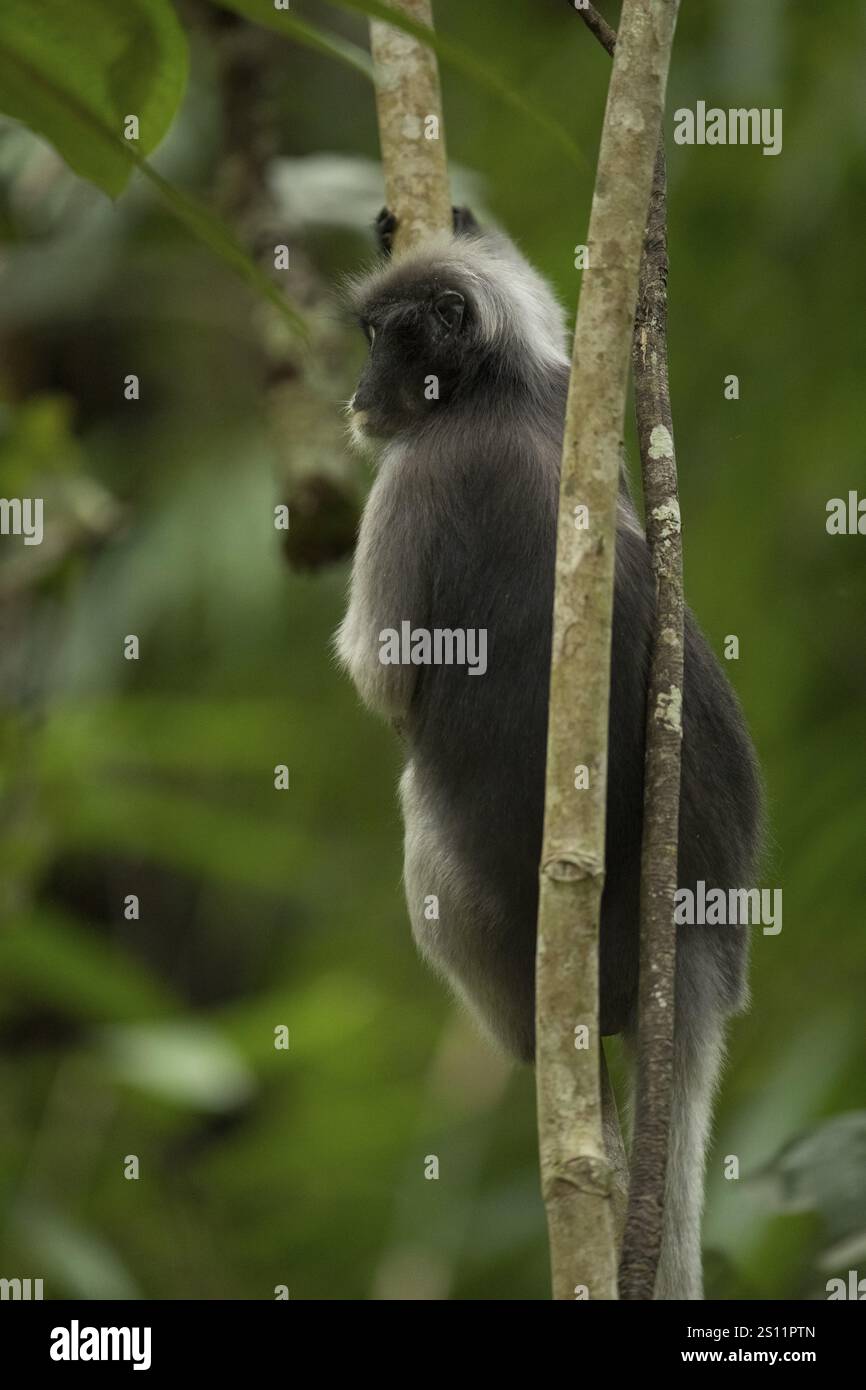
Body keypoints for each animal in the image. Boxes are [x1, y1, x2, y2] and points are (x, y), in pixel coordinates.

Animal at [335, 208, 763, 1299]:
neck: (504, 390)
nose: (357, 394)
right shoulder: (575, 395)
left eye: (384, 341)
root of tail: (694, 943)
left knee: (422, 821)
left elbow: (380, 677)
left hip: (499, 927)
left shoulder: (420, 474)